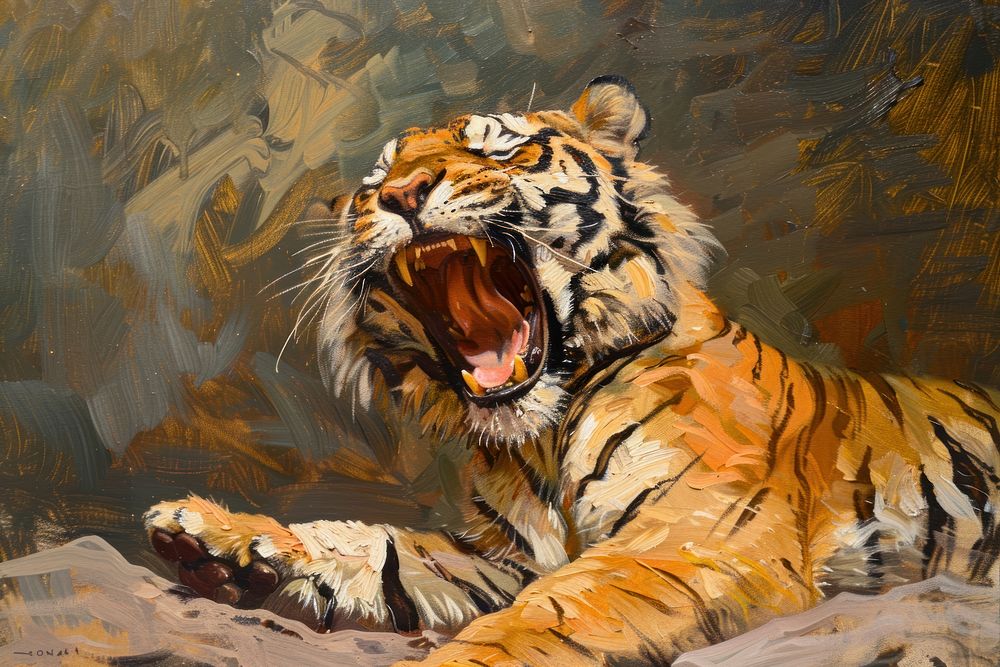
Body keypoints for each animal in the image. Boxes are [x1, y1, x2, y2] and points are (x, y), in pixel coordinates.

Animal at [145, 76, 1000, 666]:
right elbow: (372, 546)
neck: (539, 435)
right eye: (370, 185)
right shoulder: (499, 557)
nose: (400, 193)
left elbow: (541, 619)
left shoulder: (689, 540)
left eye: (499, 149)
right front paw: (214, 536)